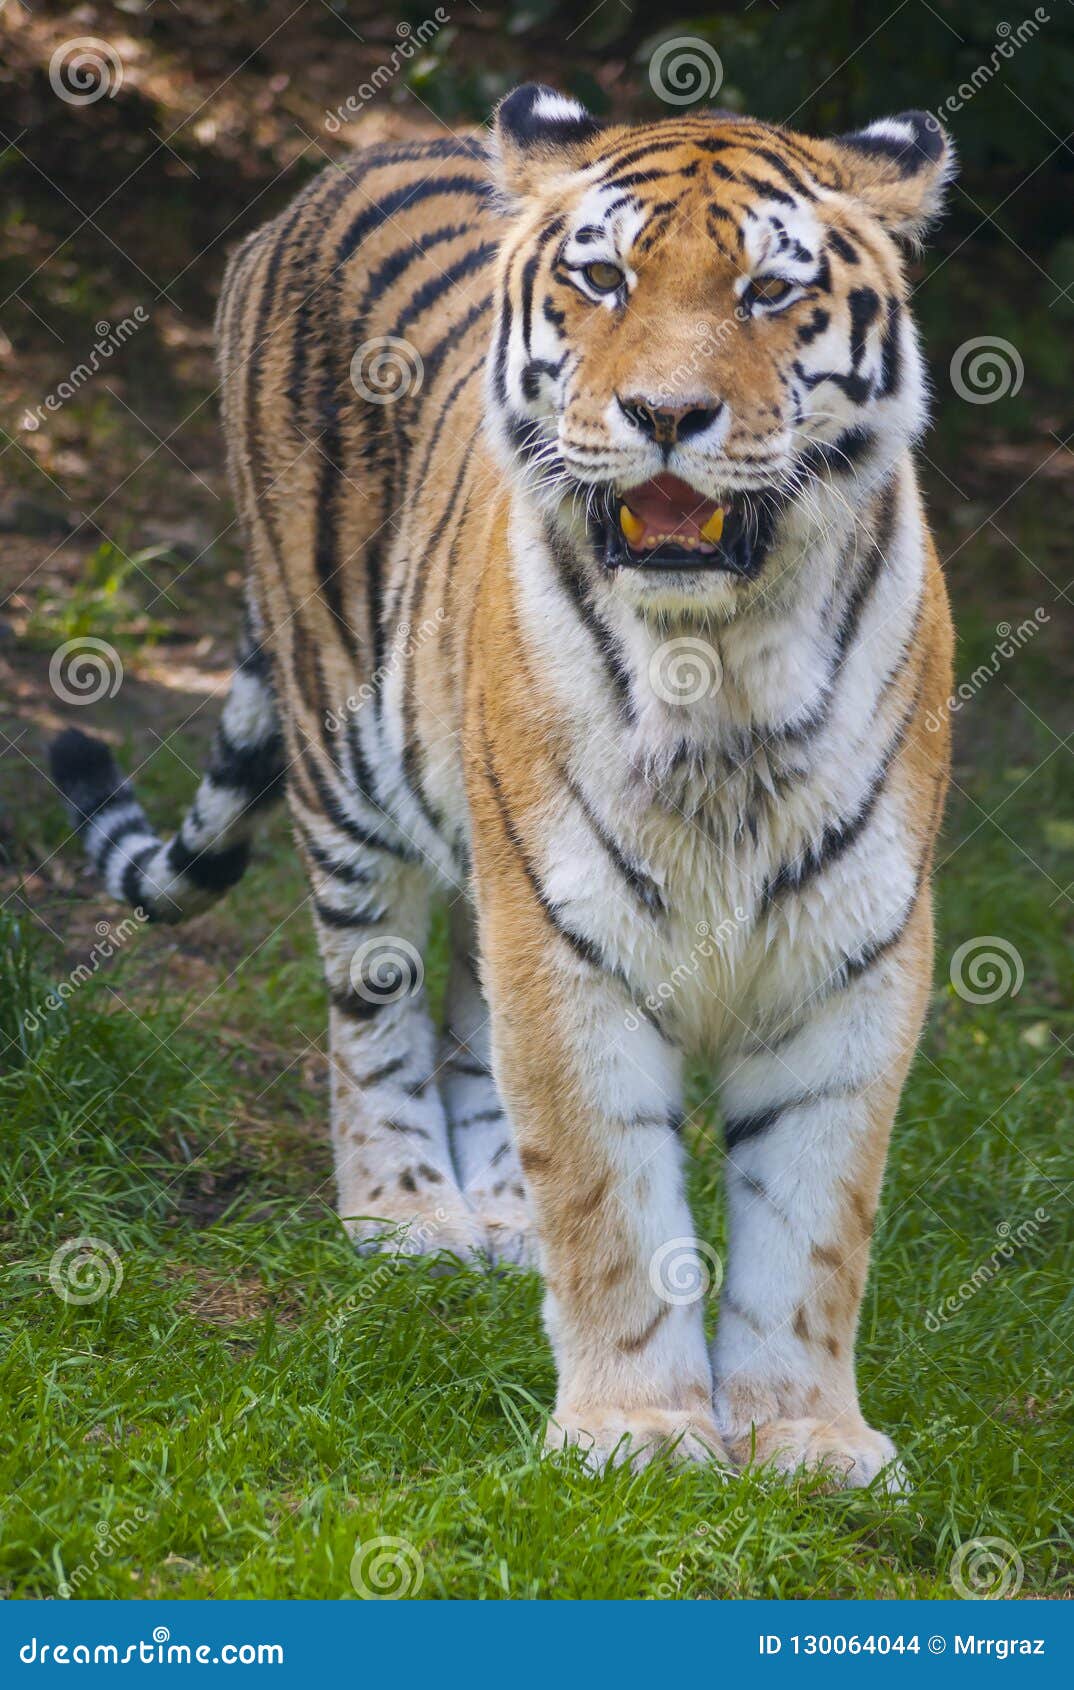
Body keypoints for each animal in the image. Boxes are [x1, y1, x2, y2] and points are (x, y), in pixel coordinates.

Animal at [51, 84, 955, 1484]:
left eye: (767, 291)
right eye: (604, 278)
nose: (667, 415)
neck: (721, 668)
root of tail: (352, 160)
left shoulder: (853, 956)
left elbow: (813, 1226)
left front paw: (806, 1438)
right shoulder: (568, 945)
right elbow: (611, 1202)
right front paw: (640, 1432)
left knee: (471, 1027)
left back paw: (498, 1216)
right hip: (348, 767)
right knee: (372, 1009)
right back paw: (407, 1214)